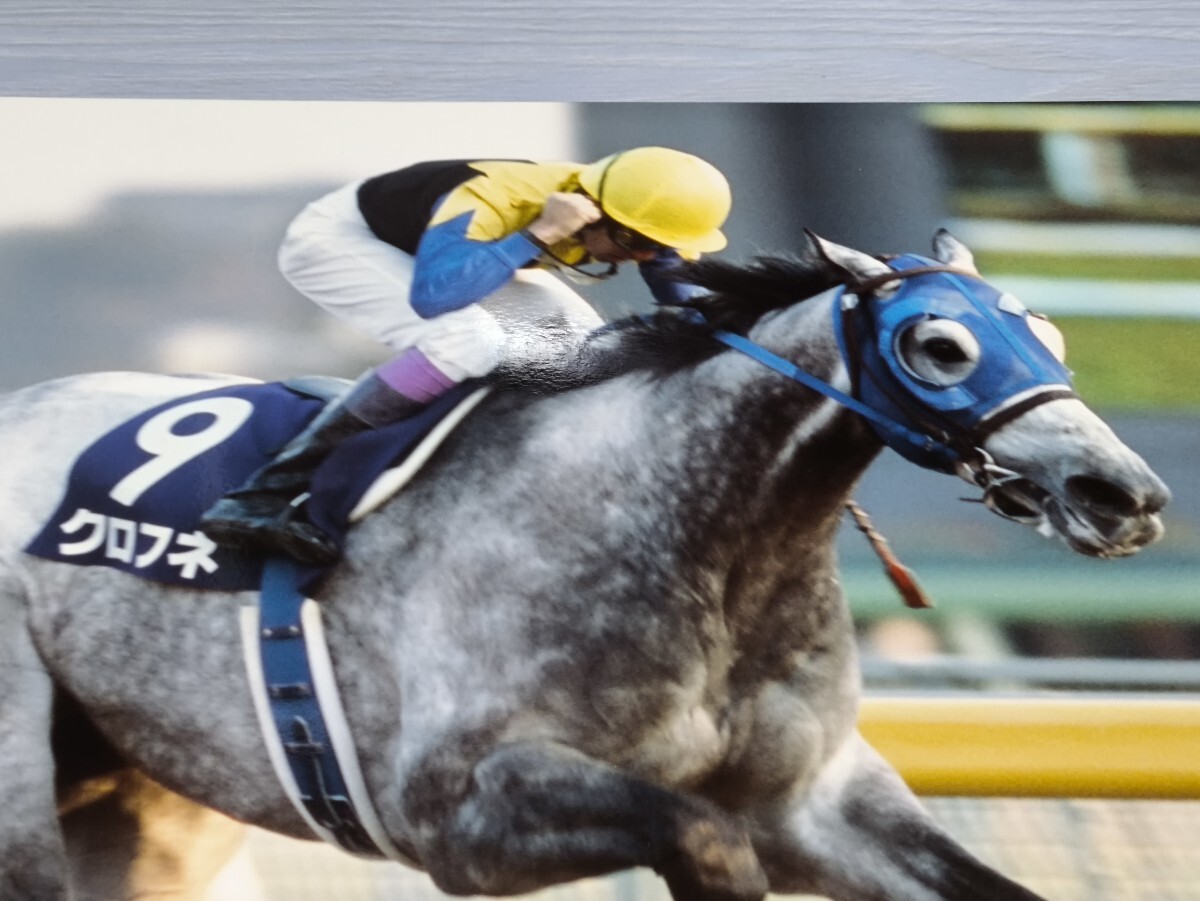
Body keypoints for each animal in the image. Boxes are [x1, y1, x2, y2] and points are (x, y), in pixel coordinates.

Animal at [0, 229, 1169, 900]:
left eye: (1052, 334)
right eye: (940, 346)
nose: (1125, 495)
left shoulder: (818, 799)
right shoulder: (457, 811)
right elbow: (706, 840)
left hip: (149, 803)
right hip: (24, 797)